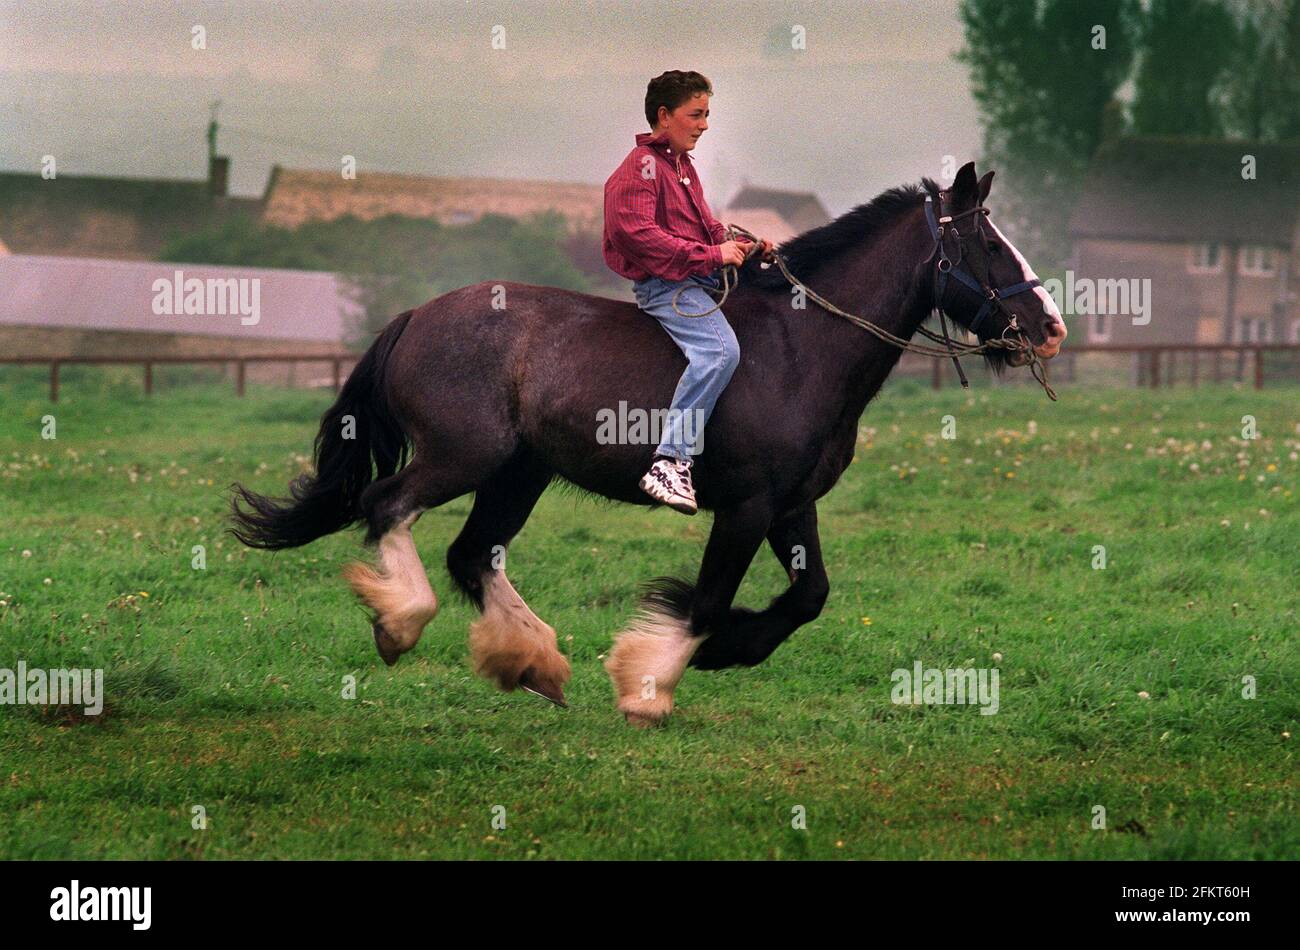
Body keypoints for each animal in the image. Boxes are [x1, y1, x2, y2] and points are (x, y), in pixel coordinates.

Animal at [229, 161, 1067, 726]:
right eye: (991, 246)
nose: (1050, 326)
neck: (800, 349)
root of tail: (413, 317)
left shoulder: (792, 506)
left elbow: (809, 596)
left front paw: (725, 651)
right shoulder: (746, 508)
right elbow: (707, 600)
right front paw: (649, 684)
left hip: (518, 473)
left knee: (471, 554)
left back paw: (534, 661)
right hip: (464, 456)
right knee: (386, 505)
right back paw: (403, 620)